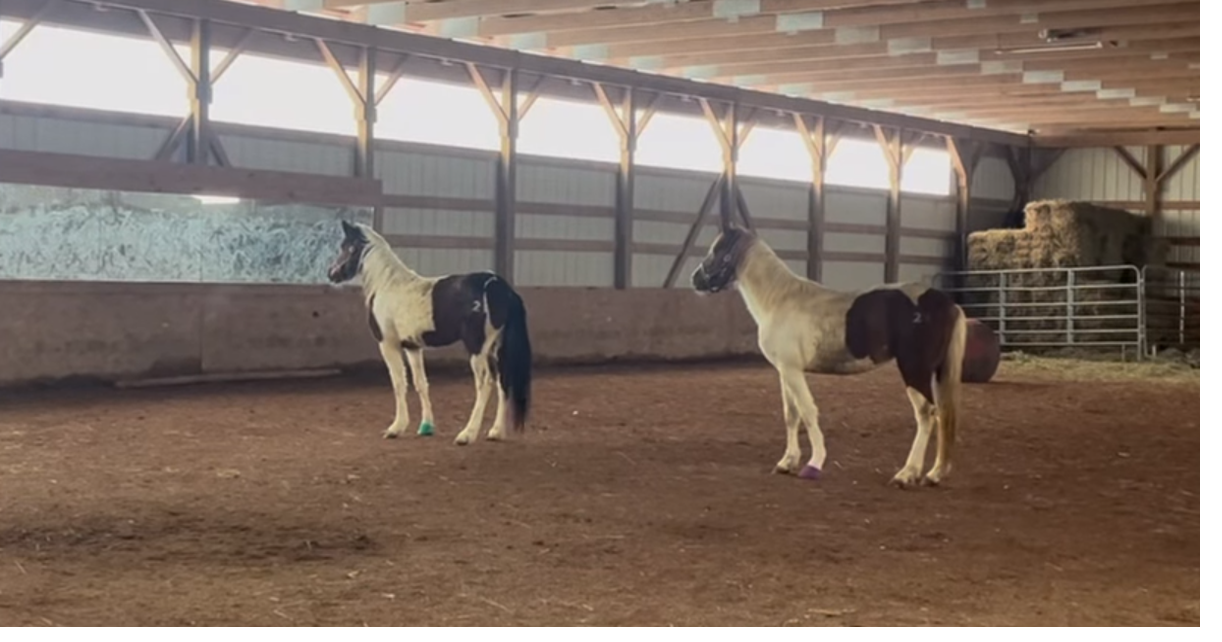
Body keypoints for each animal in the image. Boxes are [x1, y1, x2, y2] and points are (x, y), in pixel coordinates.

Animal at [327, 221, 532, 445]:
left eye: (347, 247)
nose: (331, 273)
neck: (387, 285)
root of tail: (497, 285)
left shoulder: (388, 345)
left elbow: (398, 384)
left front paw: (396, 427)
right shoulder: (413, 347)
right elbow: (420, 384)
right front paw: (426, 426)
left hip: (477, 348)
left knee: (485, 383)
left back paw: (467, 434)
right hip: (497, 347)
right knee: (503, 383)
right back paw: (496, 432)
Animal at [691, 221, 968, 488]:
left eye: (717, 251)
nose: (695, 279)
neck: (780, 299)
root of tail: (947, 304)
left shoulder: (792, 370)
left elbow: (808, 411)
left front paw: (814, 464)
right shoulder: (784, 371)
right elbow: (791, 415)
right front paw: (787, 462)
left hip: (914, 370)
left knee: (925, 415)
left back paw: (907, 474)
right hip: (935, 373)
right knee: (942, 414)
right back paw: (934, 473)